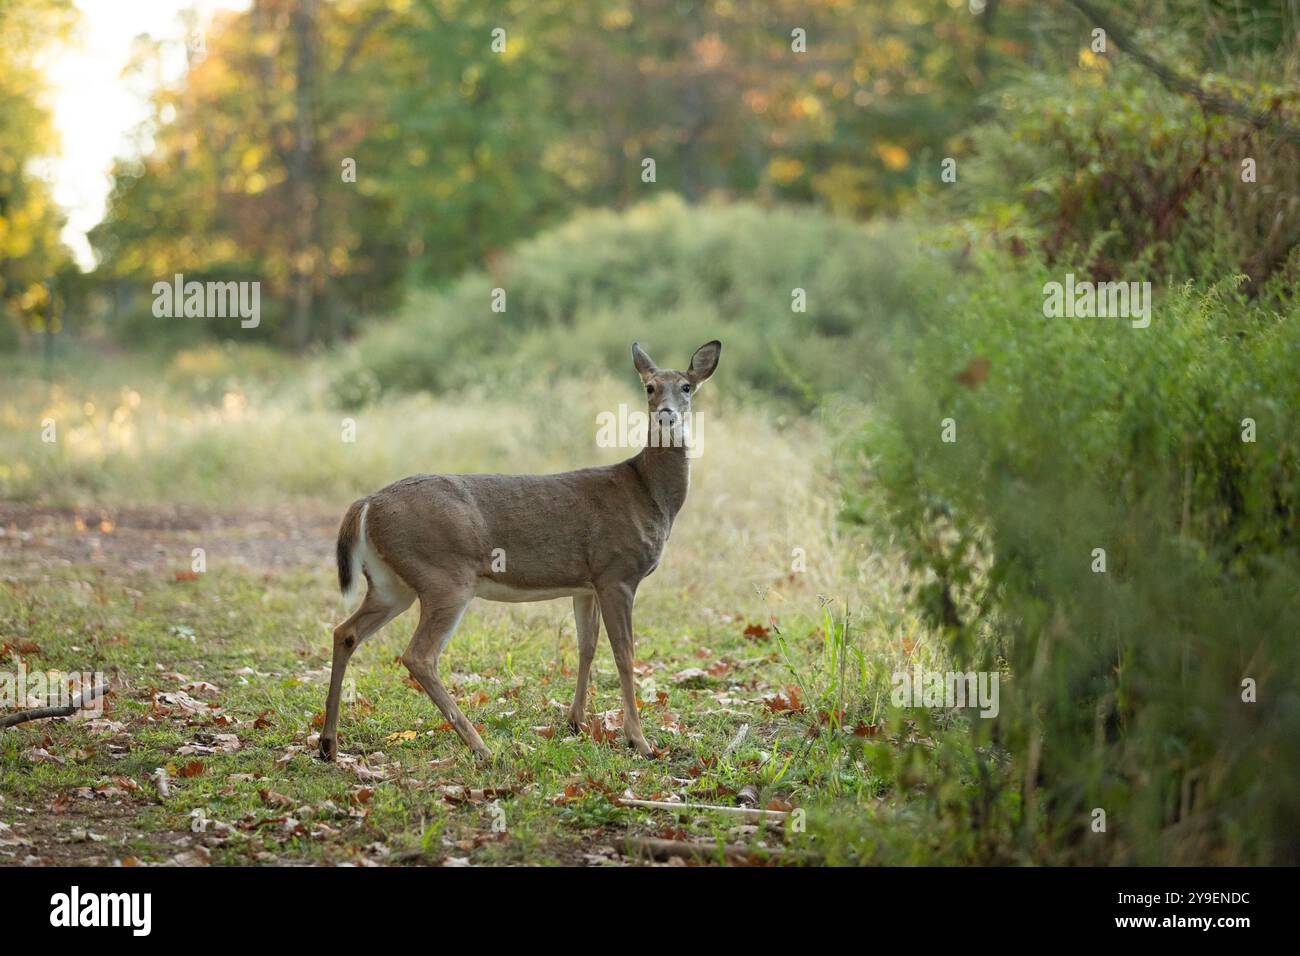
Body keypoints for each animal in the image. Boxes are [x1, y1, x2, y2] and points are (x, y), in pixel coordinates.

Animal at [319, 340, 721, 763]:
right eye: (649, 386)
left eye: (686, 387)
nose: (667, 415)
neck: (648, 494)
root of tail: (366, 504)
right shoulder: (617, 572)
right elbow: (625, 655)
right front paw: (639, 741)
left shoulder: (587, 583)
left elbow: (587, 646)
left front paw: (576, 722)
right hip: (445, 576)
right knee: (418, 655)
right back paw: (479, 745)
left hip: (391, 583)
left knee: (345, 632)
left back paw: (328, 743)